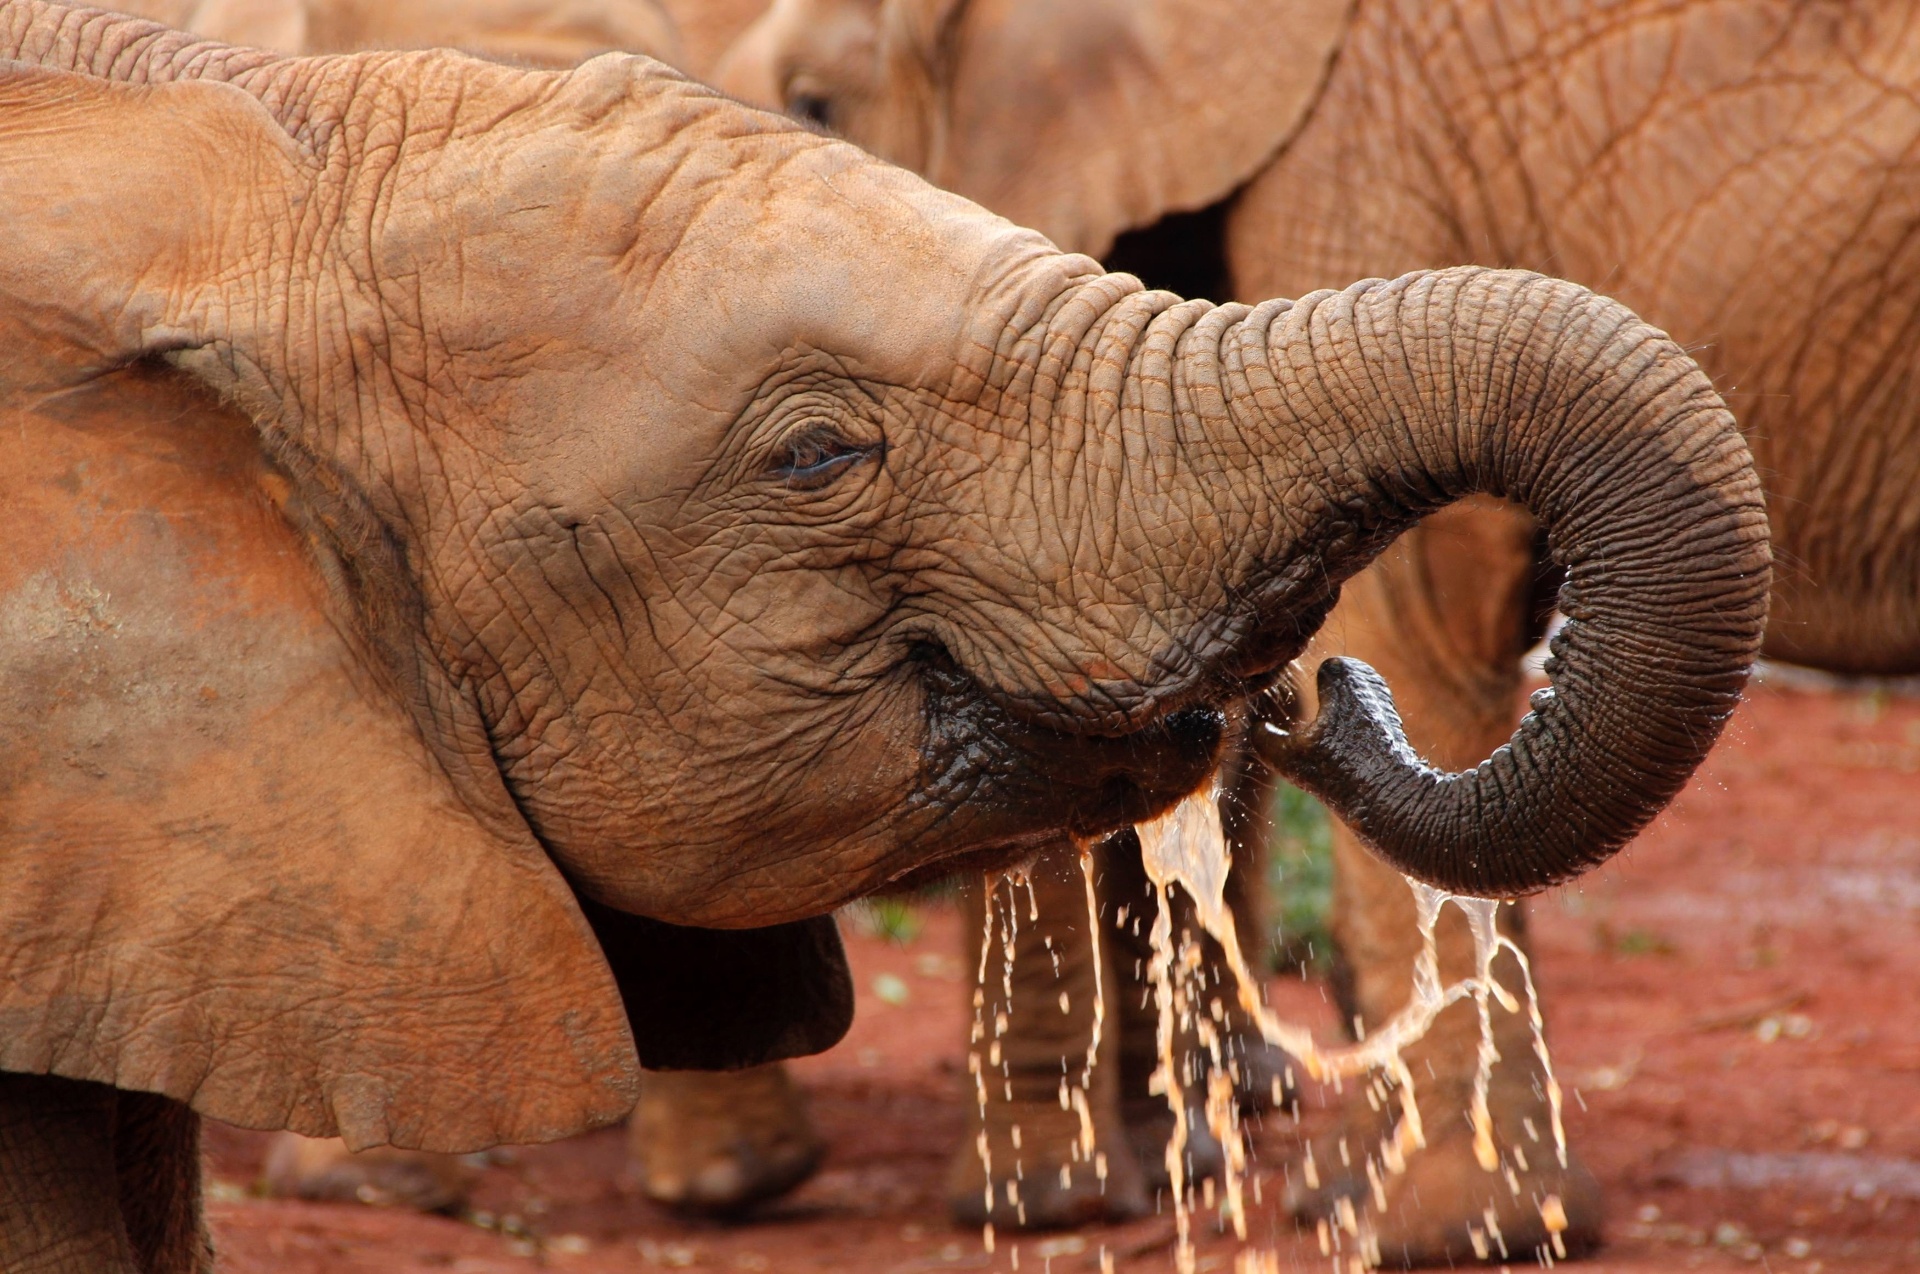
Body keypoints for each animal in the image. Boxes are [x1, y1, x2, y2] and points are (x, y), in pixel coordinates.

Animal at [718, 0, 1920, 1261]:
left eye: (816, 104)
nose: (1305, 693)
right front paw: (1362, 1201)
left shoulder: (1363, 165)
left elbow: (1424, 625)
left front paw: (1436, 1229)